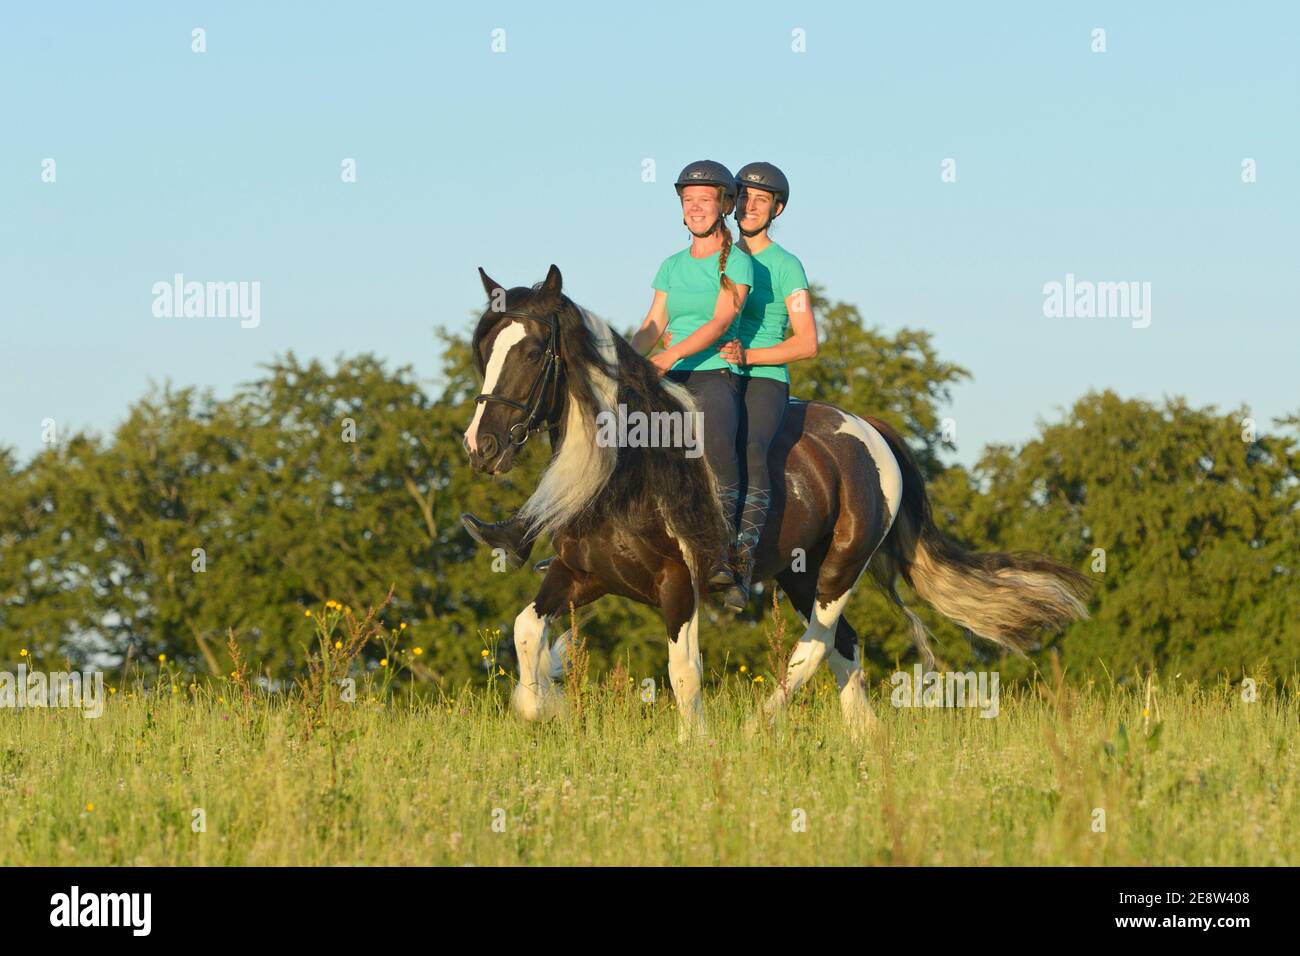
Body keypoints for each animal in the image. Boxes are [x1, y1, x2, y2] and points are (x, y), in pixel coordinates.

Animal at [462, 265, 1091, 739]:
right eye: (485, 351)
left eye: (534, 351)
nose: (480, 446)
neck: (627, 471)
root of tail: (870, 429)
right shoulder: (581, 574)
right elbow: (526, 630)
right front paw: (545, 704)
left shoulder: (679, 584)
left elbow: (683, 671)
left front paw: (696, 747)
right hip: (798, 573)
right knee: (844, 646)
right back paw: (866, 738)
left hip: (841, 568)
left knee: (816, 646)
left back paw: (757, 729)